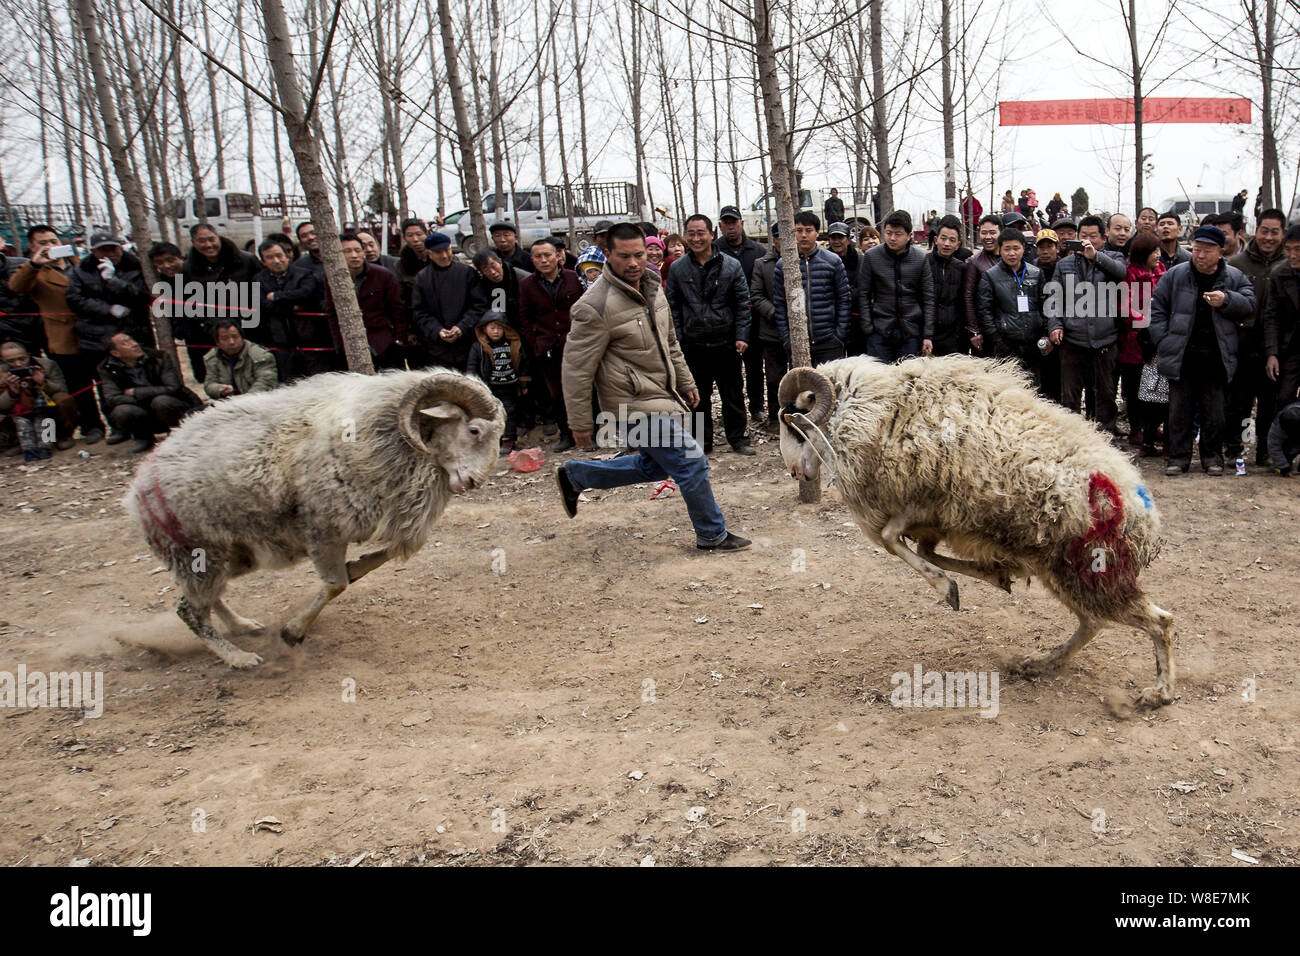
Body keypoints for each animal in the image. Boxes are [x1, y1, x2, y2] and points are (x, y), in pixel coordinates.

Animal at [124, 369, 505, 668]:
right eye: (474, 430)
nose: (474, 482)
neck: (385, 437)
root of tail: (138, 486)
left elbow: (379, 558)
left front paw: (356, 566)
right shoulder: (322, 531)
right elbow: (336, 584)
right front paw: (292, 632)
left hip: (230, 554)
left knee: (208, 600)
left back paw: (243, 626)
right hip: (194, 552)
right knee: (189, 611)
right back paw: (239, 657)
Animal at [777, 356, 1176, 709]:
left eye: (795, 429)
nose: (796, 473)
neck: (876, 411)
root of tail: (1143, 512)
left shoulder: (923, 503)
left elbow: (893, 541)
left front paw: (950, 587)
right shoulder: (935, 520)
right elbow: (923, 551)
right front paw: (994, 574)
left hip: (1094, 568)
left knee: (1160, 622)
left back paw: (1158, 693)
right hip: (1065, 571)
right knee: (1092, 622)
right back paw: (1041, 663)